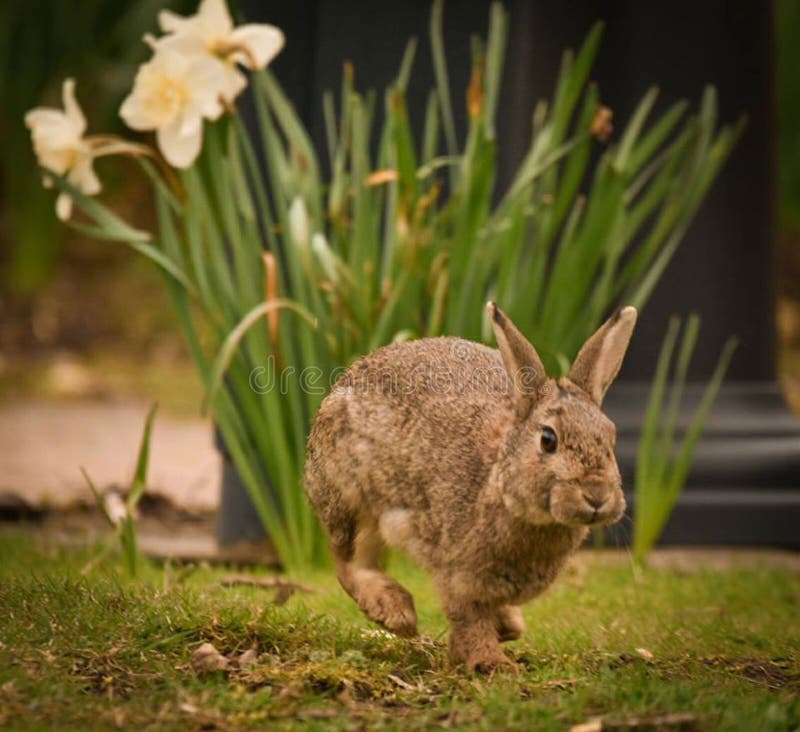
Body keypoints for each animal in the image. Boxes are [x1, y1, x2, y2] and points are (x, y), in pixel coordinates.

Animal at [304, 301, 637, 672]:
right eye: (548, 439)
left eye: (611, 438)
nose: (597, 496)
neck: (498, 483)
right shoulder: (458, 572)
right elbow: (469, 618)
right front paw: (491, 663)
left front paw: (485, 642)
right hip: (351, 496)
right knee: (348, 560)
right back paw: (396, 612)